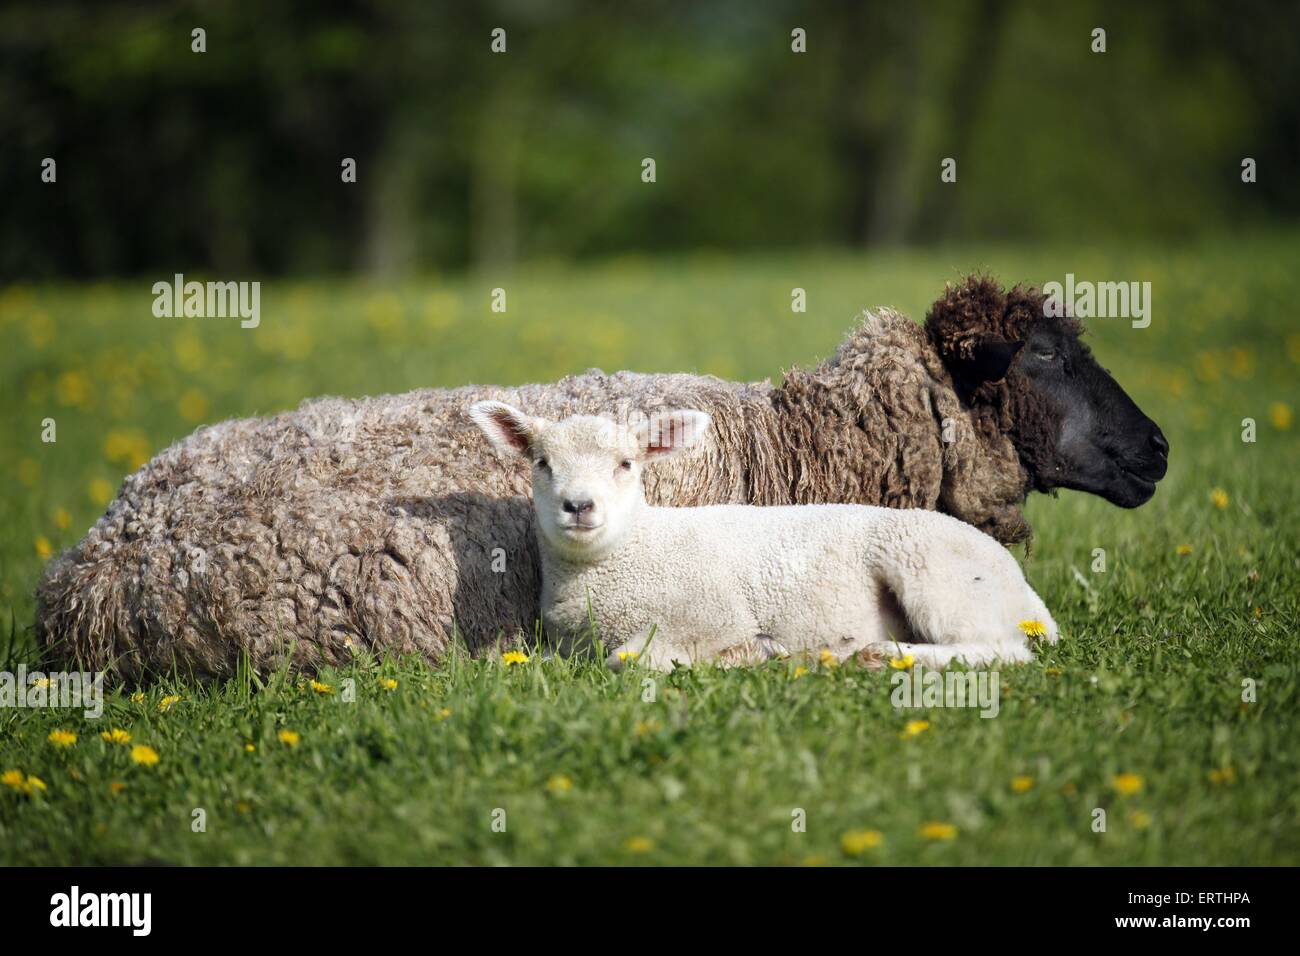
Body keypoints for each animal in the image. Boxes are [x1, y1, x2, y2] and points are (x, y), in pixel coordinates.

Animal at [467, 400, 1055, 671]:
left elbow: (629, 660)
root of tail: (1026, 594)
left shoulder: (710, 616)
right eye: (541, 463)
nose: (579, 506)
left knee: (1000, 650)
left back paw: (879, 655)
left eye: (627, 464)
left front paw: (752, 654)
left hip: (937, 572)